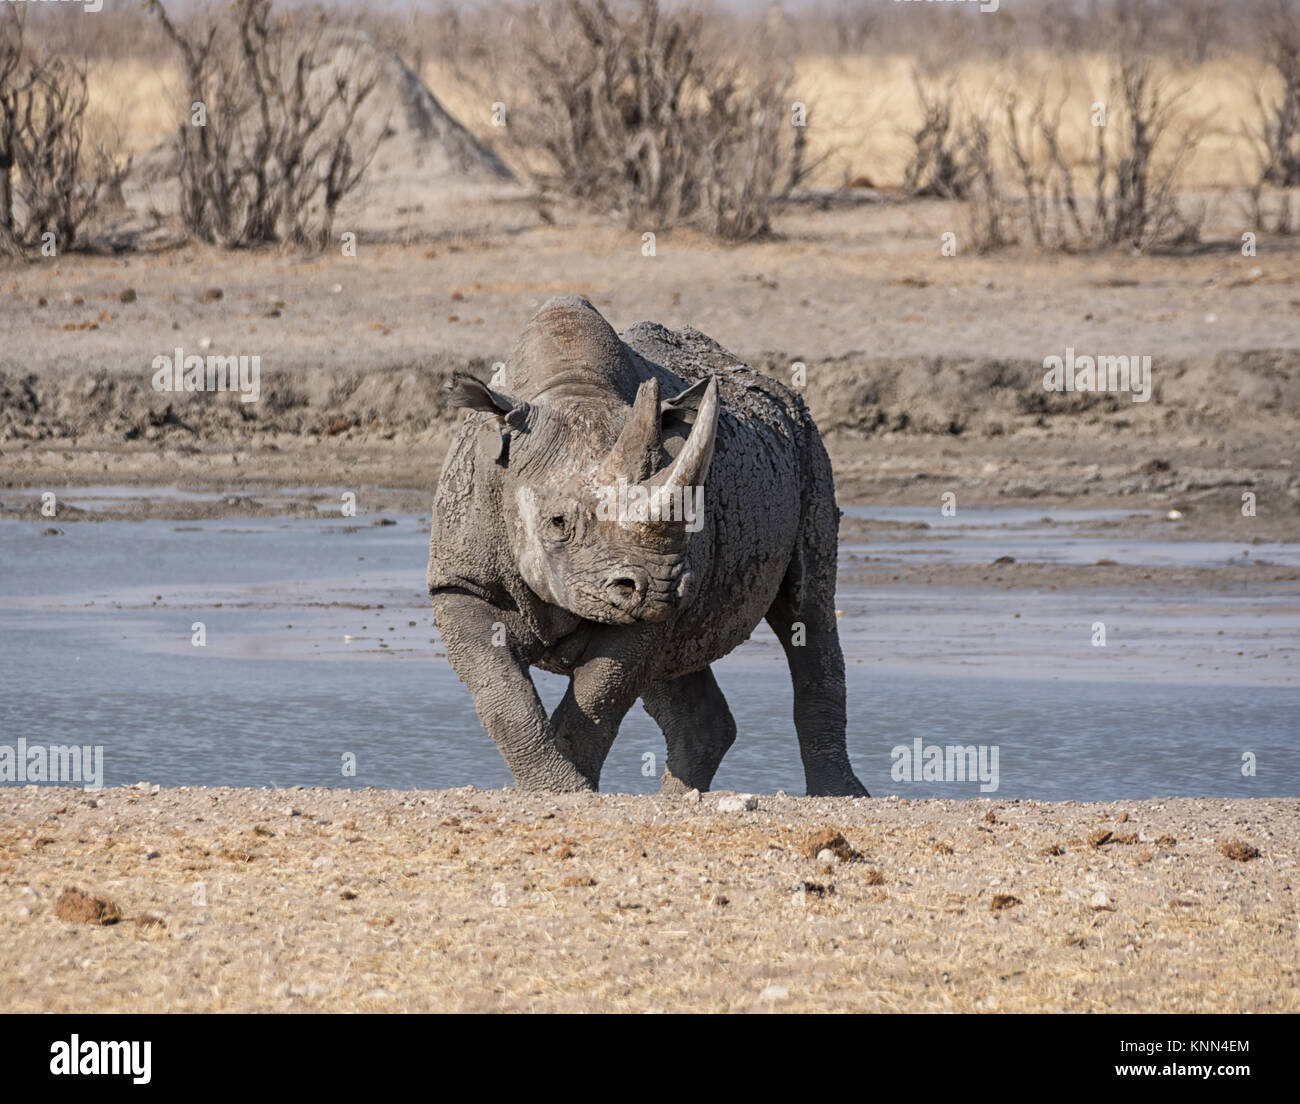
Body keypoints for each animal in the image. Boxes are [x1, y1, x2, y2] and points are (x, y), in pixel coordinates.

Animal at [427, 296, 868, 797]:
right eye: (558, 522)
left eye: (689, 515)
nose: (658, 590)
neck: (571, 387)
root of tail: (785, 395)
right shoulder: (460, 582)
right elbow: (501, 693)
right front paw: (559, 787)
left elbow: (600, 693)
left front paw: (572, 789)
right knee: (680, 663)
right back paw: (684, 798)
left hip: (807, 443)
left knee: (807, 610)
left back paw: (840, 796)